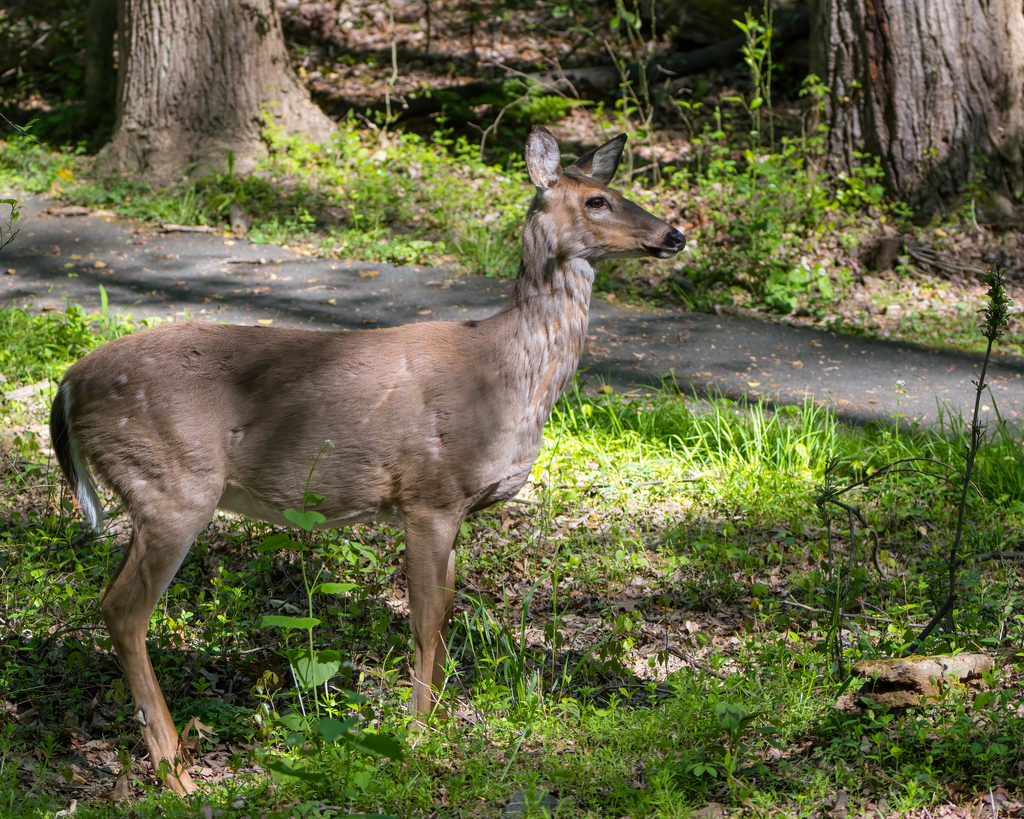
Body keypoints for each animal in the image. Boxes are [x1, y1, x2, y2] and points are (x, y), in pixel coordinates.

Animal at [49, 125, 684, 794]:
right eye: (596, 201)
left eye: (618, 190)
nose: (675, 234)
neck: (507, 376)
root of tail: (68, 384)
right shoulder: (430, 493)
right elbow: (426, 620)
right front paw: (417, 738)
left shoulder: (456, 508)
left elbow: (446, 615)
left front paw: (440, 728)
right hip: (175, 485)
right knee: (124, 610)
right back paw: (178, 776)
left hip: (149, 492)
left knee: (110, 599)